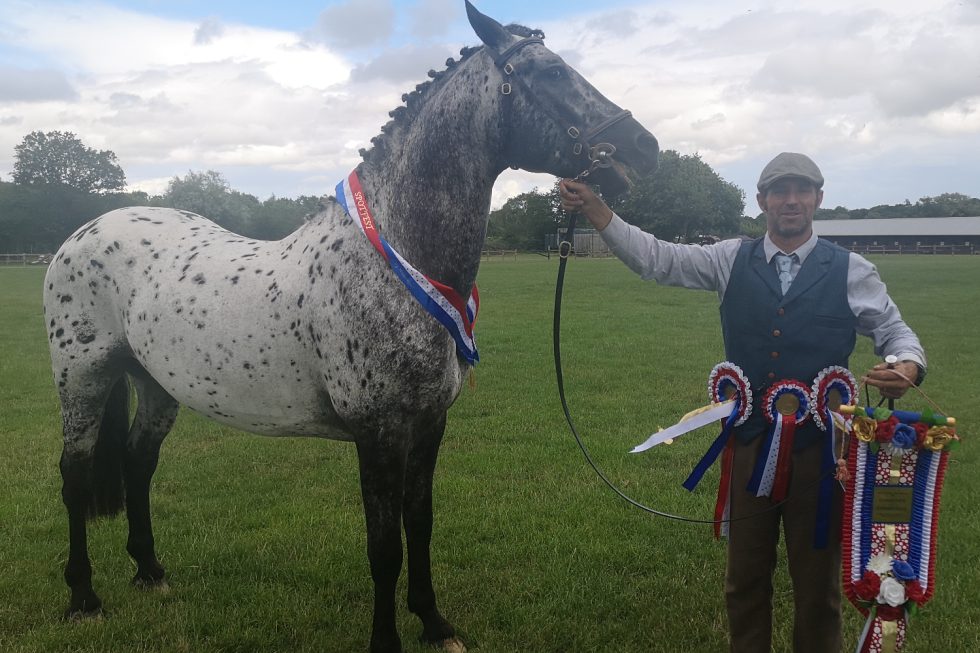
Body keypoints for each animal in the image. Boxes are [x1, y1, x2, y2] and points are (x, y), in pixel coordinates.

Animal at [42, 2, 659, 651]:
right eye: (551, 71)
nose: (644, 148)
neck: (393, 258)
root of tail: (84, 234)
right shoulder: (379, 434)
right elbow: (384, 547)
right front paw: (387, 640)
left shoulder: (429, 425)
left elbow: (421, 526)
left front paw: (434, 623)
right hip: (83, 378)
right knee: (74, 476)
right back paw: (84, 599)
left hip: (156, 384)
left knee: (139, 463)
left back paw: (150, 572)